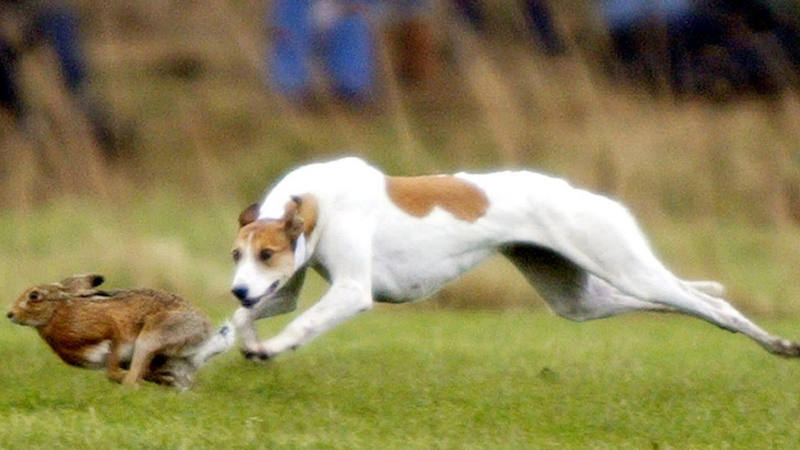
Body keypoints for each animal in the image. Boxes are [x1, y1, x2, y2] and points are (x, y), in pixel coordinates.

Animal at [7, 274, 234, 390]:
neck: (58, 312)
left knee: (137, 373)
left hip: (153, 336)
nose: (10, 314)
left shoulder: (114, 332)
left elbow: (112, 370)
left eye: (34, 296)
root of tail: (205, 334)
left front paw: (122, 379)